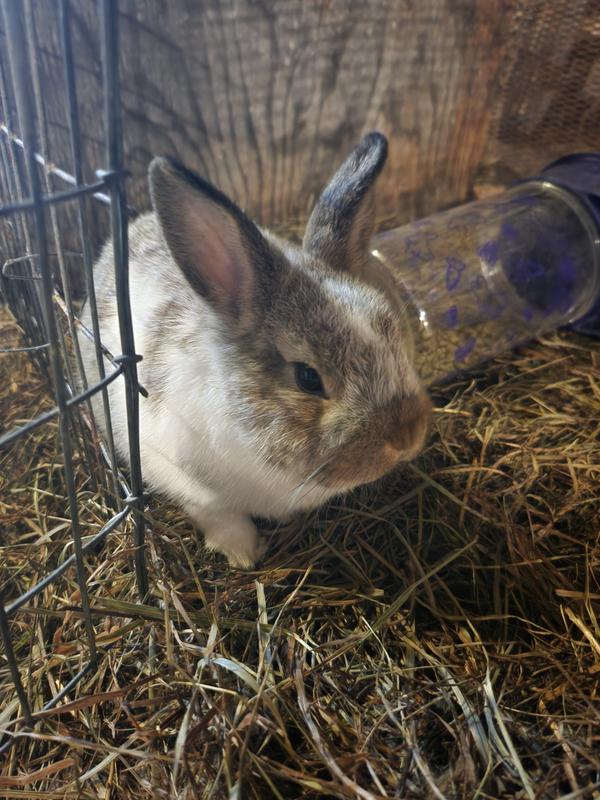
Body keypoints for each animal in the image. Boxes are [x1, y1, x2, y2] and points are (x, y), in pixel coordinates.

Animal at [80, 132, 431, 568]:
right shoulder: (179, 476)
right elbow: (219, 516)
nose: (407, 436)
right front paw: (244, 554)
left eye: (392, 334)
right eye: (307, 377)